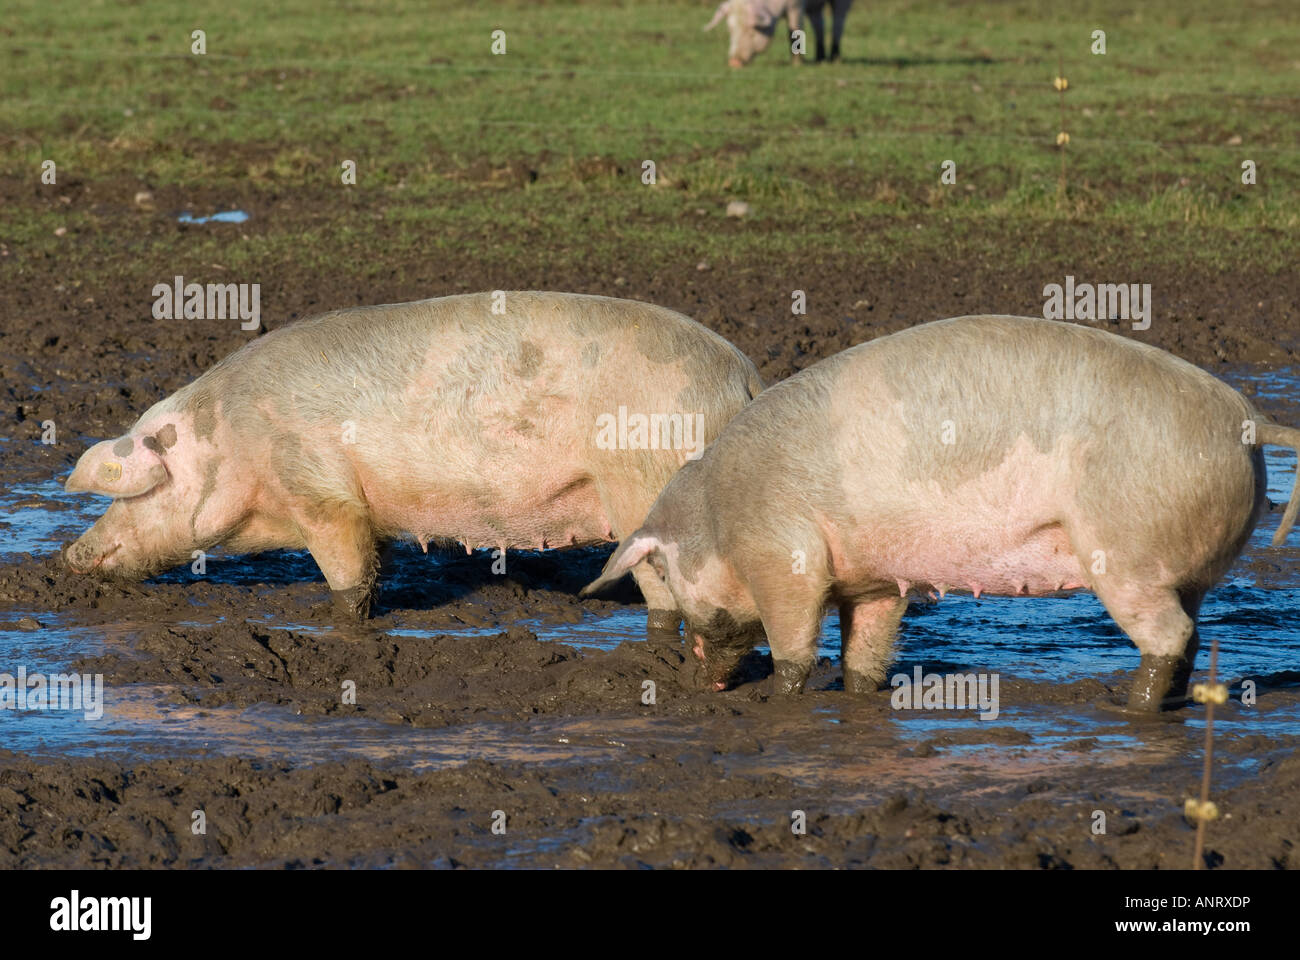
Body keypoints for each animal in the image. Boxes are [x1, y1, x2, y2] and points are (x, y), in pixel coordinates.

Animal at [62, 292, 763, 626]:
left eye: (140, 488)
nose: (67, 554)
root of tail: (743, 378)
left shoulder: (318, 487)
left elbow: (348, 572)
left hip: (642, 482)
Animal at [585, 314, 1300, 712]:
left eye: (668, 573)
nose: (699, 680)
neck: (720, 518)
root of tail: (1249, 421)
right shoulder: (874, 579)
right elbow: (866, 651)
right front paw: (861, 696)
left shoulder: (784, 557)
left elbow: (794, 649)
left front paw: (777, 702)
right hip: (1186, 569)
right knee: (1196, 632)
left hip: (1127, 554)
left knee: (1170, 637)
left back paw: (1131, 710)